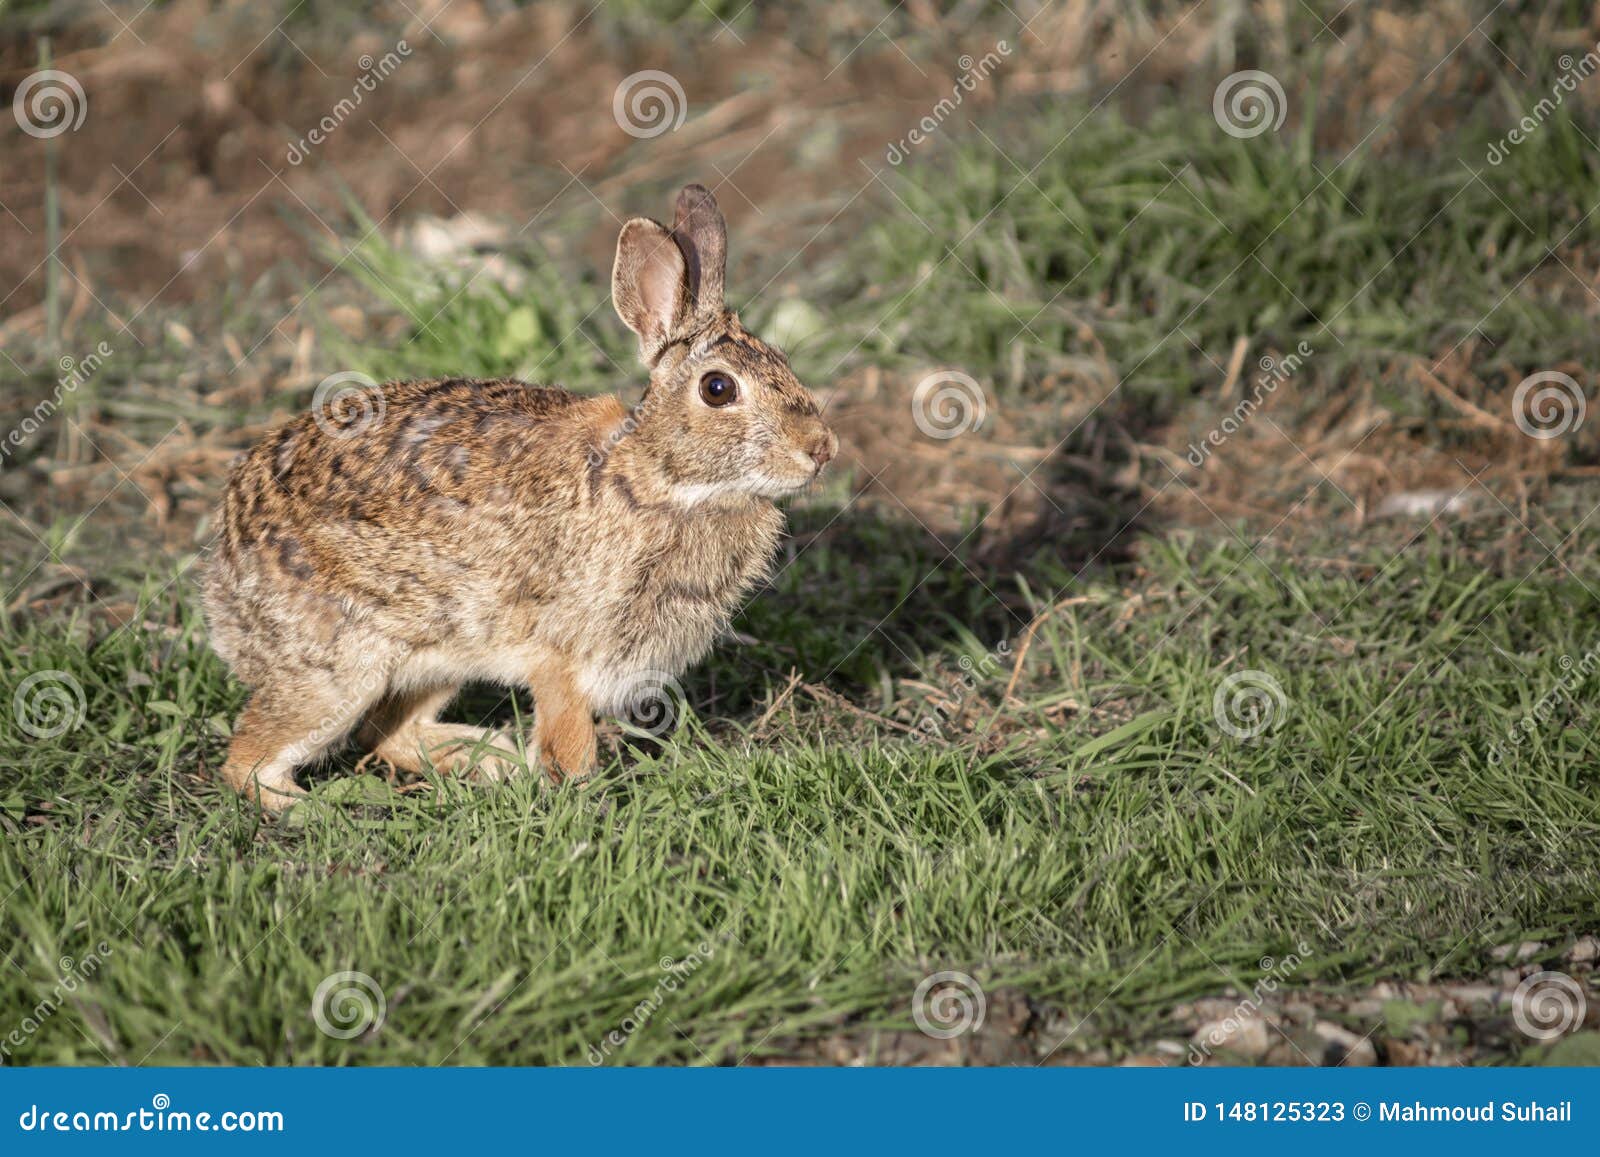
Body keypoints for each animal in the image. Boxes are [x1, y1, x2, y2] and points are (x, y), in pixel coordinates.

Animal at [202, 184, 837, 810]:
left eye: (784, 362)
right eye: (718, 388)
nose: (822, 448)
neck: (655, 479)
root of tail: (222, 577)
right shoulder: (562, 657)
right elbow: (569, 739)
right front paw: (577, 796)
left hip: (441, 652)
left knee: (386, 733)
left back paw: (491, 759)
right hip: (340, 670)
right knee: (250, 757)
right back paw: (306, 807)